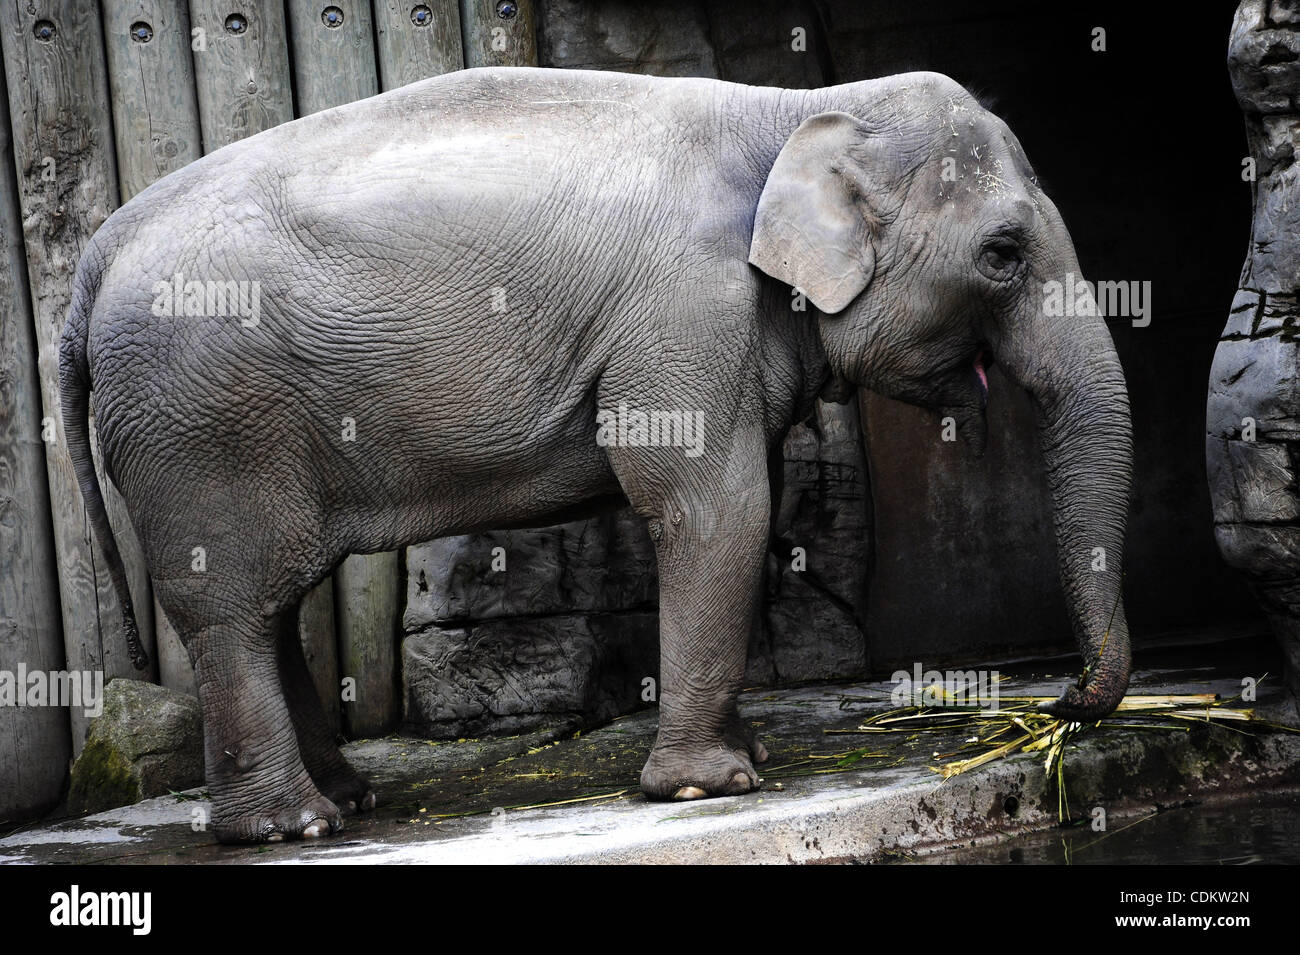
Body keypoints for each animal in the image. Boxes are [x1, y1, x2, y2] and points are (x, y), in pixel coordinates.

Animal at [60, 66, 1133, 843]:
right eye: (1001, 253)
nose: (1066, 699)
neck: (795, 110)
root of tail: (95, 257)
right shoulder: (686, 309)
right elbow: (719, 507)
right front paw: (710, 786)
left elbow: (741, 499)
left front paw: (744, 757)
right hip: (203, 422)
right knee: (232, 604)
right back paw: (291, 828)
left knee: (269, 601)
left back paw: (347, 801)